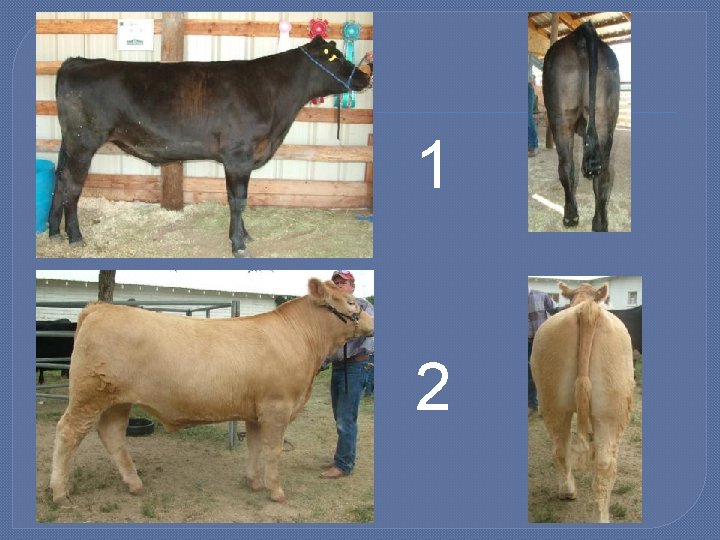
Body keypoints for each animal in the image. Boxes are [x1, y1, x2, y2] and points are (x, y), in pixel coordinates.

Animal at [48, 36, 371, 257]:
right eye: (335, 57)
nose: (366, 76)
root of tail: (79, 61)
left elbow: (235, 199)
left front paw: (242, 235)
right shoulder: (239, 155)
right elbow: (238, 200)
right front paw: (239, 244)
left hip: (70, 142)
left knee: (60, 179)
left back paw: (53, 232)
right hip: (83, 141)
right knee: (73, 185)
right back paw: (75, 236)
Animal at [49, 278, 374, 505]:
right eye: (350, 302)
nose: (371, 321)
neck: (300, 339)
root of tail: (101, 307)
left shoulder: (256, 411)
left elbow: (254, 446)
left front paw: (254, 482)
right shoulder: (277, 407)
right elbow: (273, 450)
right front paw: (276, 491)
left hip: (117, 400)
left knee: (112, 435)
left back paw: (135, 484)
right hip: (89, 395)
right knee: (68, 432)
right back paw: (59, 493)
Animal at [530, 282, 634, 522]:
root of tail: (587, 310)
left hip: (554, 400)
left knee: (562, 450)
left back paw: (569, 492)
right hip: (612, 408)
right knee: (604, 464)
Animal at [542, 22, 621, 232]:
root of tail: (582, 32)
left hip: (560, 118)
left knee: (566, 166)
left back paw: (570, 216)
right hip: (604, 117)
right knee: (604, 174)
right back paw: (600, 223)